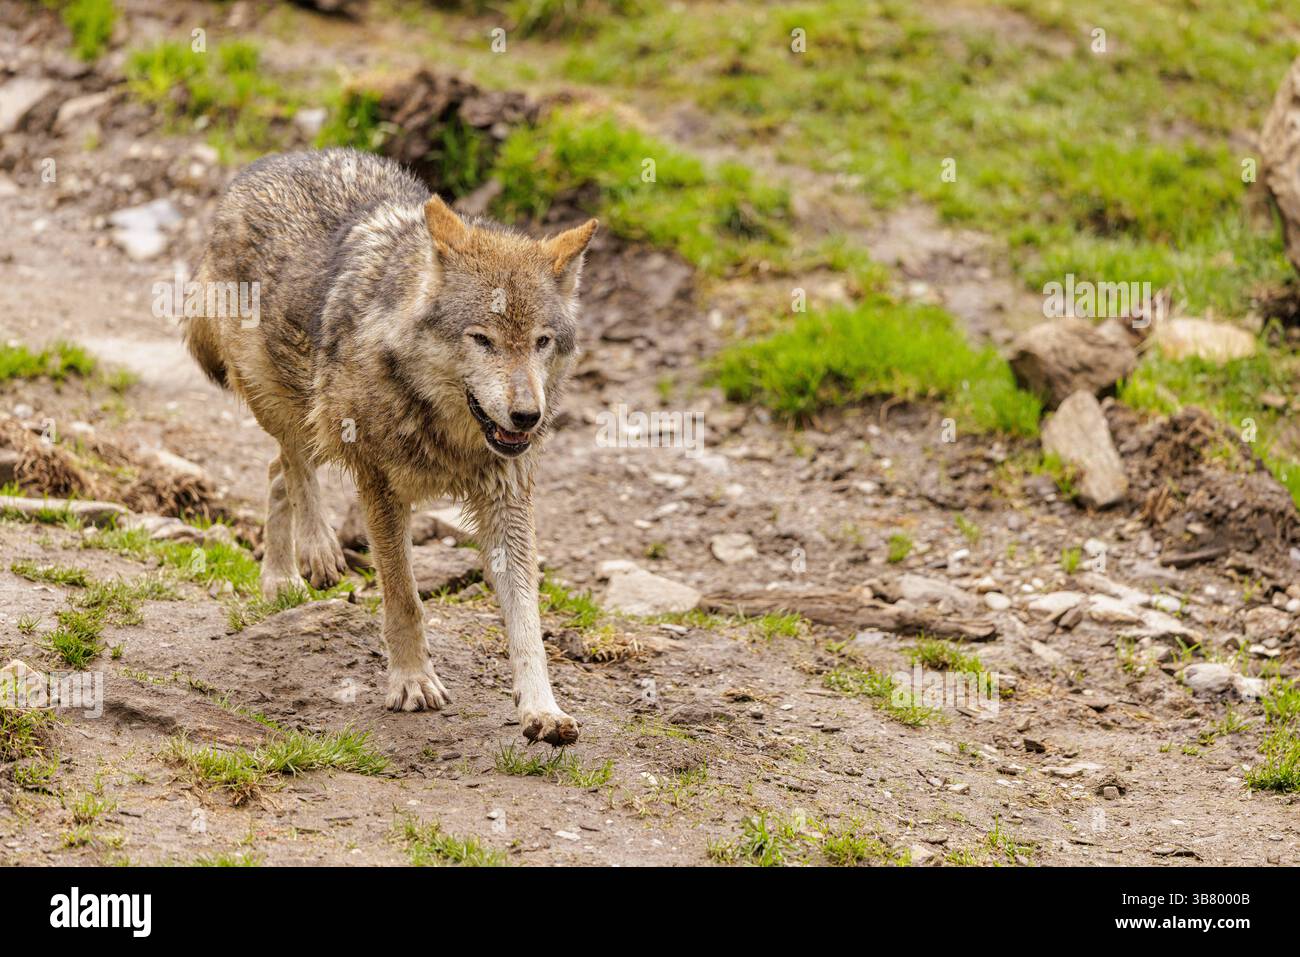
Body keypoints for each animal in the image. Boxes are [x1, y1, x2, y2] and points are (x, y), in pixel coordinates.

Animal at [183, 148, 597, 745]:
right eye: (482, 339)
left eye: (541, 341)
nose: (526, 416)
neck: (446, 431)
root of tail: (268, 165)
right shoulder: (378, 483)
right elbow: (404, 596)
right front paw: (412, 681)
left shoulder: (507, 496)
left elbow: (526, 618)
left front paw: (542, 709)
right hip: (297, 403)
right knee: (294, 465)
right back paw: (314, 552)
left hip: (312, 415)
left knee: (274, 471)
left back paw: (281, 579)